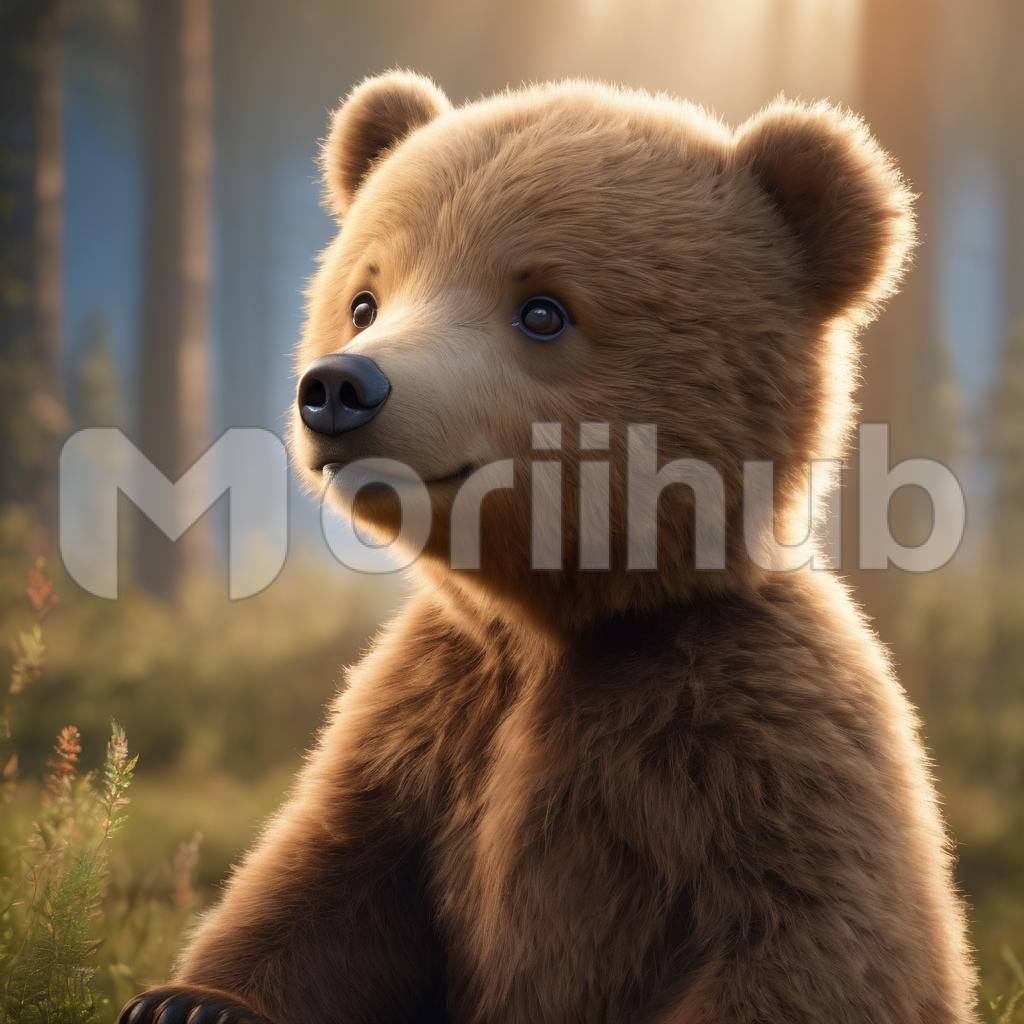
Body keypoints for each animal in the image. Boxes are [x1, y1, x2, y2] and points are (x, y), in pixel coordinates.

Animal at [118, 72, 978, 1024]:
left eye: (542, 309)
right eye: (364, 296)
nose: (341, 386)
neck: (554, 619)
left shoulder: (757, 736)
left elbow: (818, 941)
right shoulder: (428, 722)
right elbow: (318, 882)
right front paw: (187, 1001)